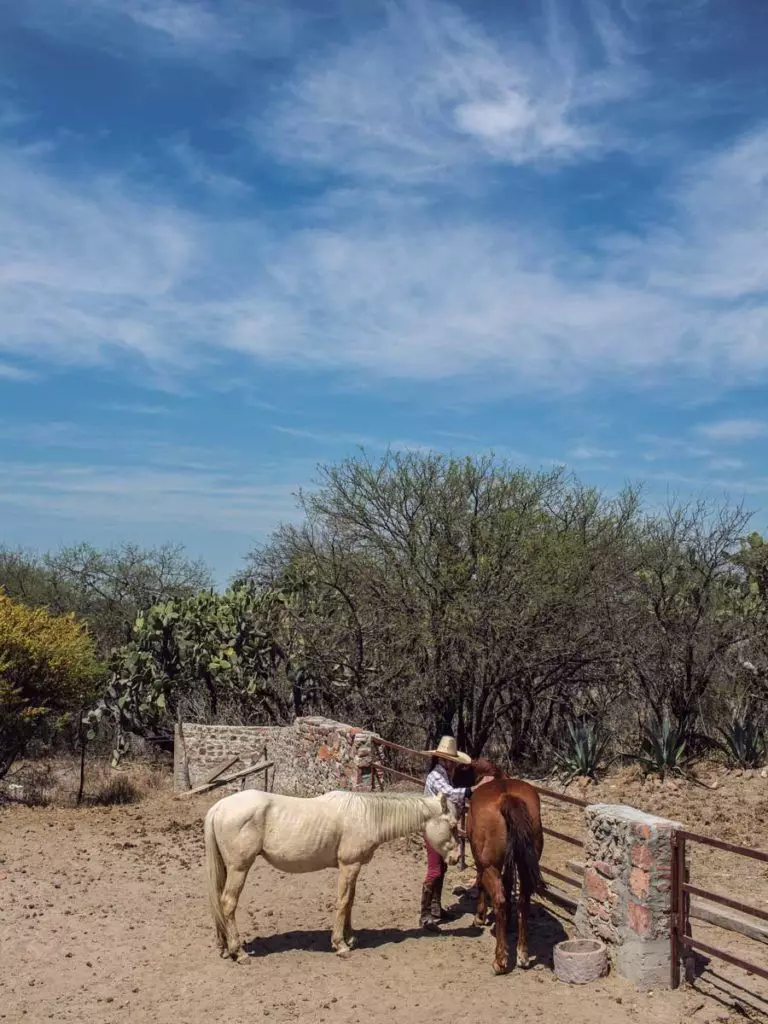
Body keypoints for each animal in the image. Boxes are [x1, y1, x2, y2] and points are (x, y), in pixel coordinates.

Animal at [202, 782, 462, 958]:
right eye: (452, 825)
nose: (457, 857)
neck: (367, 816)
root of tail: (219, 807)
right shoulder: (349, 866)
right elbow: (343, 901)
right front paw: (340, 945)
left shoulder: (354, 868)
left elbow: (351, 902)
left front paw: (350, 937)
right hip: (239, 868)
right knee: (228, 903)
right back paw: (239, 952)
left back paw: (224, 947)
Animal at [456, 761, 548, 974]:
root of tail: (507, 798)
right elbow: (508, 885)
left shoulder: (483, 864)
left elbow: (481, 884)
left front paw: (480, 916)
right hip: (523, 867)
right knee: (523, 901)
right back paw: (522, 955)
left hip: (490, 866)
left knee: (499, 899)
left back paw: (500, 961)